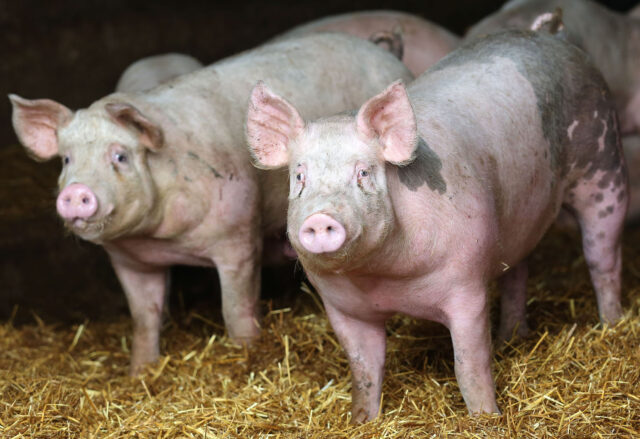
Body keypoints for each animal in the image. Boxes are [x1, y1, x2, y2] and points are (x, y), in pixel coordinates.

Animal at [9, 33, 414, 375]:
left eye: (120, 156)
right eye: (66, 160)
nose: (75, 191)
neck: (160, 240)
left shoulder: (238, 237)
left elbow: (234, 309)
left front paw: (246, 353)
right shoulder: (129, 260)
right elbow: (144, 317)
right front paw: (140, 372)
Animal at [245, 30, 627, 421]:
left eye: (363, 172)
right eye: (299, 176)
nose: (320, 218)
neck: (384, 279)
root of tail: (550, 34)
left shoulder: (468, 287)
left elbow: (469, 368)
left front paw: (487, 419)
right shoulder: (343, 308)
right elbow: (364, 369)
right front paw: (362, 420)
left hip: (604, 164)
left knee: (603, 258)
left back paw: (610, 325)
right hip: (519, 219)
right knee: (517, 272)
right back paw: (511, 337)